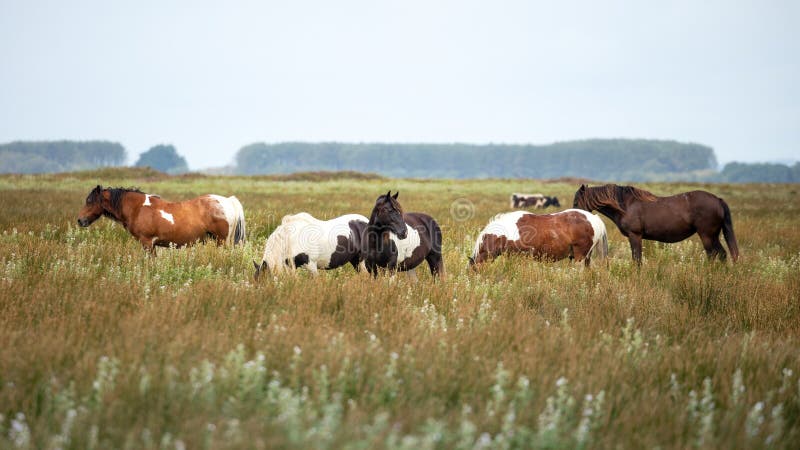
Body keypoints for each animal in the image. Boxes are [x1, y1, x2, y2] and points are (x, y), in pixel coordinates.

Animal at [77, 185, 246, 253]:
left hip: (221, 241)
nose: (80, 220)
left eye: (89, 201)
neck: (138, 208)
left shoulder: (147, 243)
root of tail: (227, 201)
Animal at [572, 184, 739, 263]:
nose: (574, 215)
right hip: (714, 236)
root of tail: (718, 199)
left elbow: (637, 259)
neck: (626, 205)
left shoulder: (635, 236)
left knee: (713, 255)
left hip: (706, 235)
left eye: (576, 202)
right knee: (723, 254)